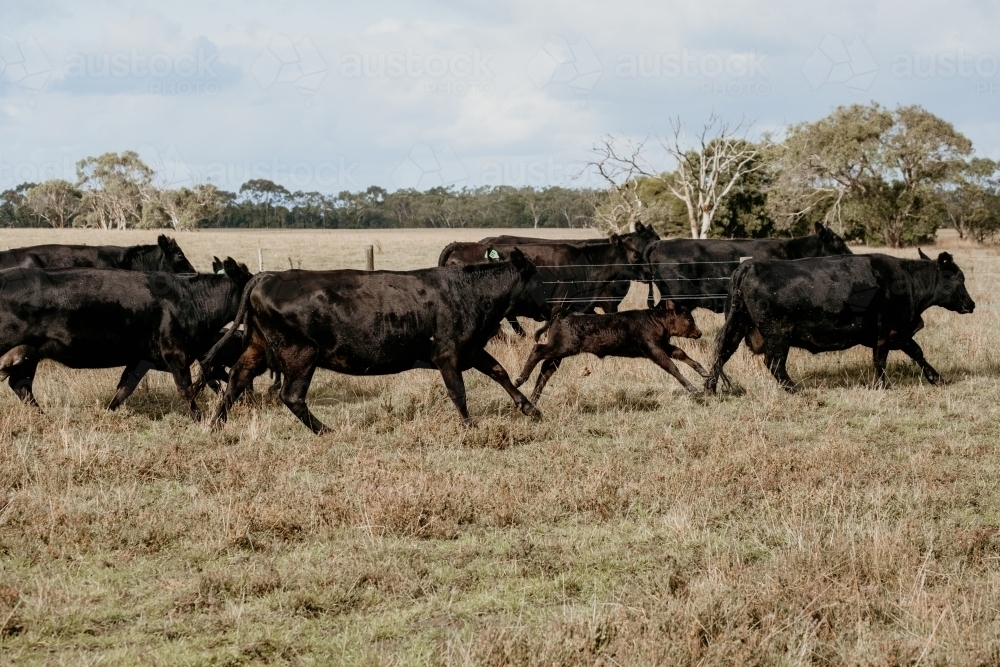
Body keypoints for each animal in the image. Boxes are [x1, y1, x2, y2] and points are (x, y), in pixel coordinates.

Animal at [0, 259, 252, 417]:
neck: (192, 300)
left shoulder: (140, 359)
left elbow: (124, 388)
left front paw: (106, 413)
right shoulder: (176, 354)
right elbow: (186, 390)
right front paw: (199, 418)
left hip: (27, 354)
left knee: (21, 385)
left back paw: (42, 416)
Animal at [200, 249, 552, 433]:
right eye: (537, 279)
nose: (552, 306)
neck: (469, 292)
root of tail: (268, 276)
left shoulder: (472, 349)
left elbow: (500, 373)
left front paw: (530, 408)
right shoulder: (447, 354)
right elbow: (458, 392)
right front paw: (470, 426)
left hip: (257, 348)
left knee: (236, 381)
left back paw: (216, 425)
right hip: (300, 354)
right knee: (291, 396)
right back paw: (325, 430)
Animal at [513, 300, 707, 401]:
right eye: (689, 319)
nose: (699, 333)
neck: (656, 320)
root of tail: (564, 313)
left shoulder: (663, 345)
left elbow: (680, 353)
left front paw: (703, 371)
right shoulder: (653, 349)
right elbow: (671, 366)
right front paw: (692, 388)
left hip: (559, 353)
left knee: (546, 370)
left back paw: (534, 398)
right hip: (563, 347)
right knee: (537, 350)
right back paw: (520, 380)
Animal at [704, 250, 975, 394]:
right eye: (959, 279)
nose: (971, 304)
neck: (907, 282)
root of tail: (749, 266)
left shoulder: (899, 333)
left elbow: (917, 352)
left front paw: (936, 377)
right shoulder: (888, 332)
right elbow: (882, 360)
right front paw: (883, 385)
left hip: (738, 325)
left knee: (722, 352)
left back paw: (709, 388)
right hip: (778, 334)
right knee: (774, 363)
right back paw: (794, 389)